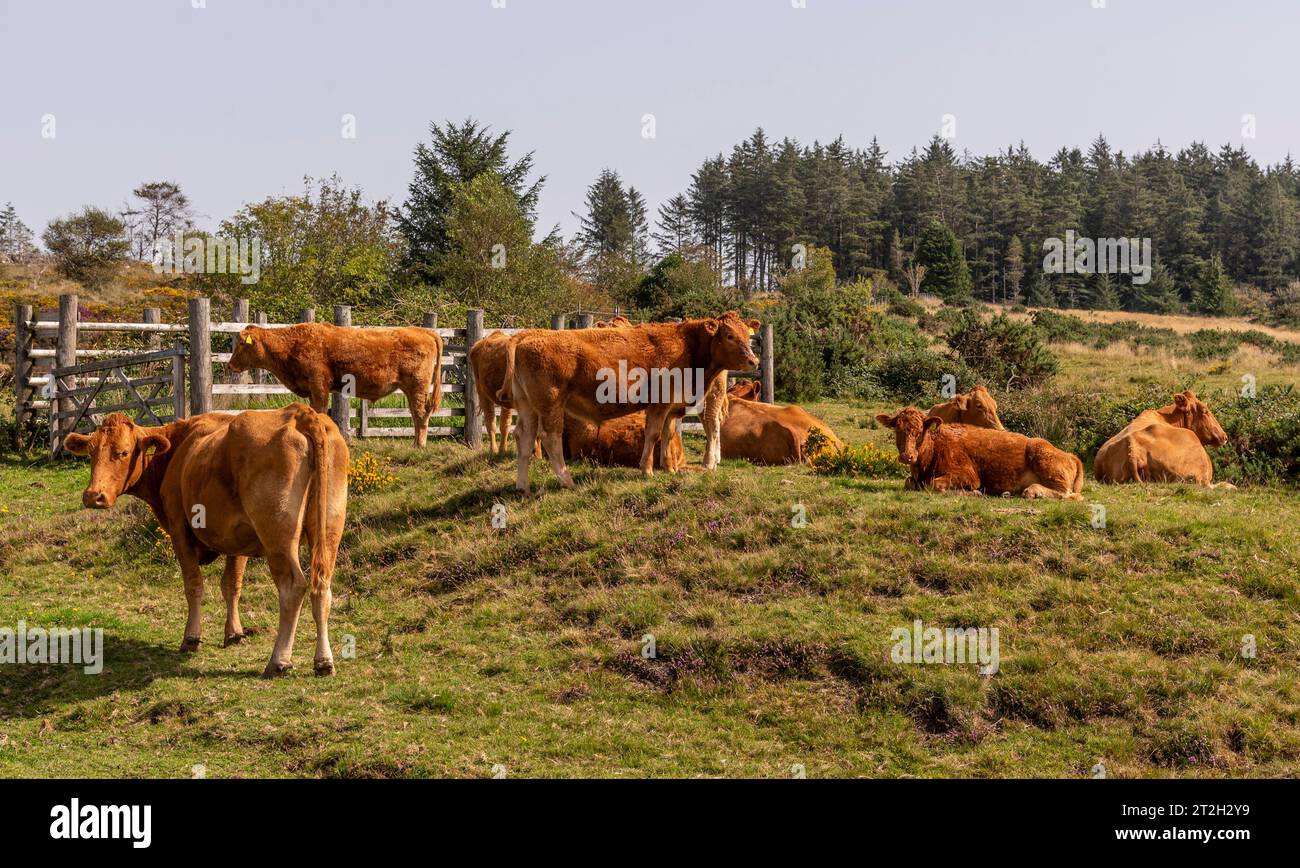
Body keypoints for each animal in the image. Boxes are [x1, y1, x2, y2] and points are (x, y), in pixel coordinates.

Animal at [63, 406, 348, 677]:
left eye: (123, 452)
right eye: (90, 453)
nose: (93, 496)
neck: (178, 451)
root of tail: (301, 413)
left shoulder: (180, 529)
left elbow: (193, 585)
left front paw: (191, 637)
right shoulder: (238, 536)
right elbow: (232, 584)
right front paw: (234, 633)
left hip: (277, 535)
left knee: (293, 586)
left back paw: (279, 661)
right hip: (329, 528)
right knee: (322, 585)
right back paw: (323, 661)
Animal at [227, 323, 444, 447]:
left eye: (241, 343)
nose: (230, 365)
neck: (293, 344)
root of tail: (424, 331)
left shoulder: (319, 386)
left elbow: (320, 412)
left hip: (417, 386)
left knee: (420, 414)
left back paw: (419, 445)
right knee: (417, 415)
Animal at [498, 311, 760, 492]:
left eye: (747, 336)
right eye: (729, 335)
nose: (754, 361)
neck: (686, 345)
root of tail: (526, 335)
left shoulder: (672, 407)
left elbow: (668, 434)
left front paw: (669, 468)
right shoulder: (659, 404)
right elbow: (653, 434)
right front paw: (647, 469)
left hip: (528, 407)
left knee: (523, 437)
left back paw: (522, 486)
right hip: (551, 405)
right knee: (549, 438)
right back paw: (567, 480)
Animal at [876, 406, 1084, 500]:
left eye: (920, 431)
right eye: (897, 430)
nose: (907, 456)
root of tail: (1070, 455)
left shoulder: (968, 475)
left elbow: (935, 484)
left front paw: (973, 493)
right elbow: (908, 482)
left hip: (1042, 457)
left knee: (1066, 493)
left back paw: (1033, 491)